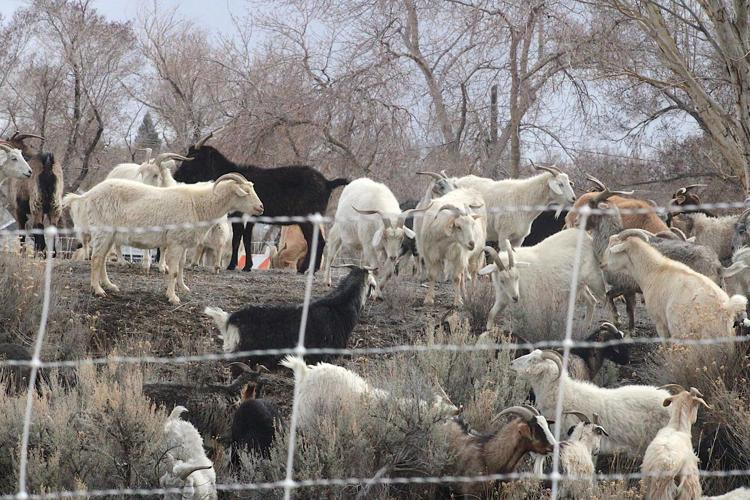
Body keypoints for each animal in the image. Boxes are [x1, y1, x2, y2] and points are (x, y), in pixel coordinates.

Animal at [63, 173, 263, 303]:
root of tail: (87, 195)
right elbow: (173, 271)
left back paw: (110, 286)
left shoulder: (182, 243)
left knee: (103, 258)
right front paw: (173, 297)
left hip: (110, 235)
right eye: (245, 191)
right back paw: (98, 290)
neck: (197, 204)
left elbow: (181, 267)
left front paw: (183, 288)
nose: (261, 207)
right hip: (103, 231)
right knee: (96, 259)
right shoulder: (175, 243)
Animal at [174, 130, 349, 272]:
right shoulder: (248, 216)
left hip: (308, 217)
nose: (177, 175)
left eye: (194, 157)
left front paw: (234, 266)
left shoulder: (241, 215)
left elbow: (239, 239)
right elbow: (244, 238)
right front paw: (244, 266)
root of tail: (327, 182)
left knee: (317, 241)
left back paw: (306, 270)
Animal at [602, 229, 746, 339]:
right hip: (720, 287)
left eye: (612, 249)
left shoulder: (626, 287)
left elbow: (624, 306)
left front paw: (622, 324)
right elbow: (613, 298)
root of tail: (717, 265)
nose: (602, 264)